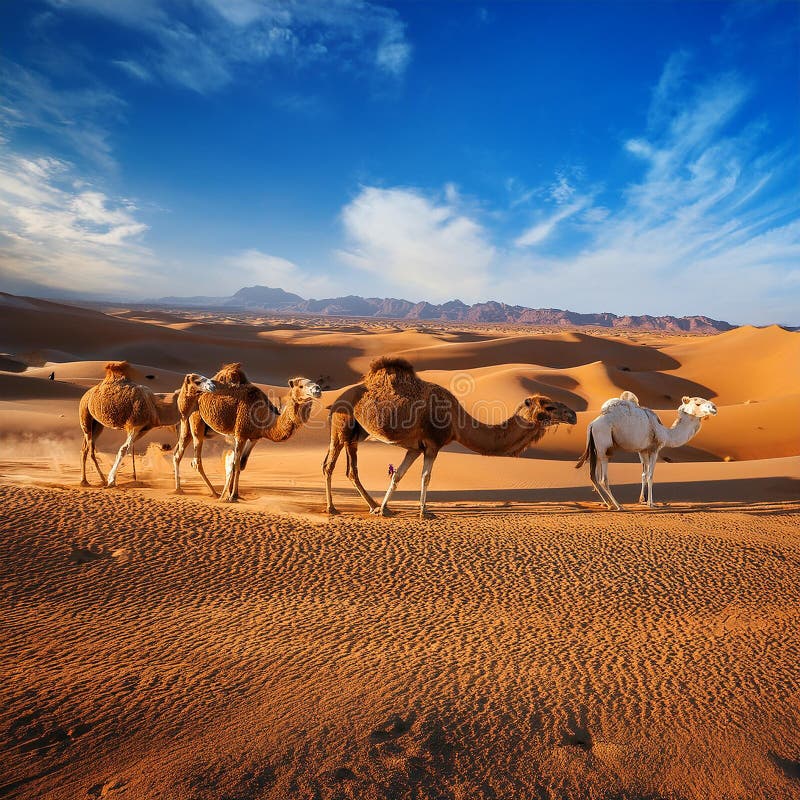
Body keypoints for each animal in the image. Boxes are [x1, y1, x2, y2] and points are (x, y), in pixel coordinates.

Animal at [79, 361, 217, 487]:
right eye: (197, 381)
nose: (213, 386)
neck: (156, 408)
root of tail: (86, 394)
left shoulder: (144, 429)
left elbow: (128, 447)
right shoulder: (134, 425)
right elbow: (124, 448)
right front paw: (111, 480)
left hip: (97, 425)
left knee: (87, 447)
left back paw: (96, 479)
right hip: (85, 416)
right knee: (87, 448)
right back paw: (87, 481)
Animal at [173, 362, 322, 501]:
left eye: (312, 382)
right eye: (301, 386)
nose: (317, 389)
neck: (264, 417)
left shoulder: (254, 438)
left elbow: (241, 464)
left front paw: (233, 493)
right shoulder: (241, 434)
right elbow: (236, 464)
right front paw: (232, 496)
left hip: (194, 427)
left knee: (177, 453)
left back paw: (180, 488)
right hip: (194, 419)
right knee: (195, 461)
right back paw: (211, 493)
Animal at [323, 356, 578, 519]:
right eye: (548, 406)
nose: (573, 414)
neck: (457, 421)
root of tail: (336, 400)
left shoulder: (415, 448)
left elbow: (397, 476)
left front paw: (384, 509)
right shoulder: (433, 444)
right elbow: (426, 477)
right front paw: (425, 512)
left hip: (358, 432)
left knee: (344, 468)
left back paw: (366, 505)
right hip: (343, 427)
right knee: (335, 467)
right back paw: (335, 508)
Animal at [576, 393, 718, 510]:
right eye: (697, 403)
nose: (714, 408)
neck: (666, 433)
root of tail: (592, 425)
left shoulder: (643, 450)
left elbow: (643, 474)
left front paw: (642, 500)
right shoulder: (654, 449)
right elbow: (650, 475)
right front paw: (651, 503)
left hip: (597, 449)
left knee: (594, 476)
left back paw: (608, 504)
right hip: (604, 441)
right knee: (603, 479)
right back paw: (618, 506)